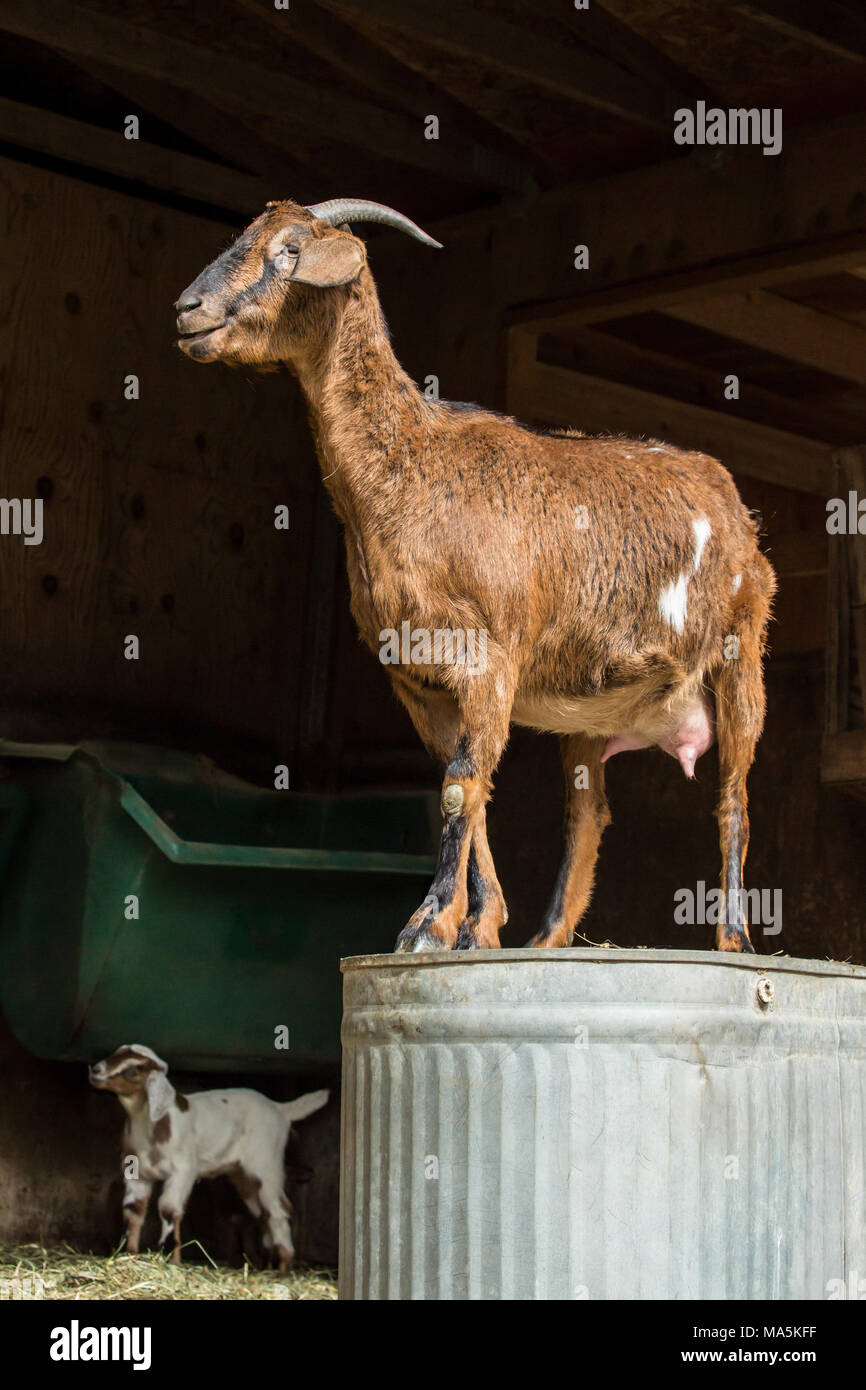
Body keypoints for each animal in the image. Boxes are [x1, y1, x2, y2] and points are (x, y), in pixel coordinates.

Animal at [89, 1044, 328, 1271]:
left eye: (133, 1070)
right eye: (116, 1053)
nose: (95, 1071)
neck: (152, 1125)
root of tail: (279, 1108)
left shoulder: (183, 1171)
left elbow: (169, 1209)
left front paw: (172, 1258)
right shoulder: (137, 1174)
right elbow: (133, 1211)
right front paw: (128, 1253)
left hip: (266, 1165)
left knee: (280, 1209)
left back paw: (284, 1267)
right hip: (242, 1177)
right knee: (262, 1213)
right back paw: (267, 1265)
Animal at [176, 197, 776, 955]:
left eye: (288, 251)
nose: (187, 309)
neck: (409, 471)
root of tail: (730, 499)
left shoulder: (491, 657)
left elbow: (462, 785)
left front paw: (426, 925)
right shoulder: (417, 680)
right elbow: (469, 785)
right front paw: (476, 927)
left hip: (741, 652)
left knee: (735, 796)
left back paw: (735, 940)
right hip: (590, 702)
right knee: (589, 813)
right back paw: (546, 942)